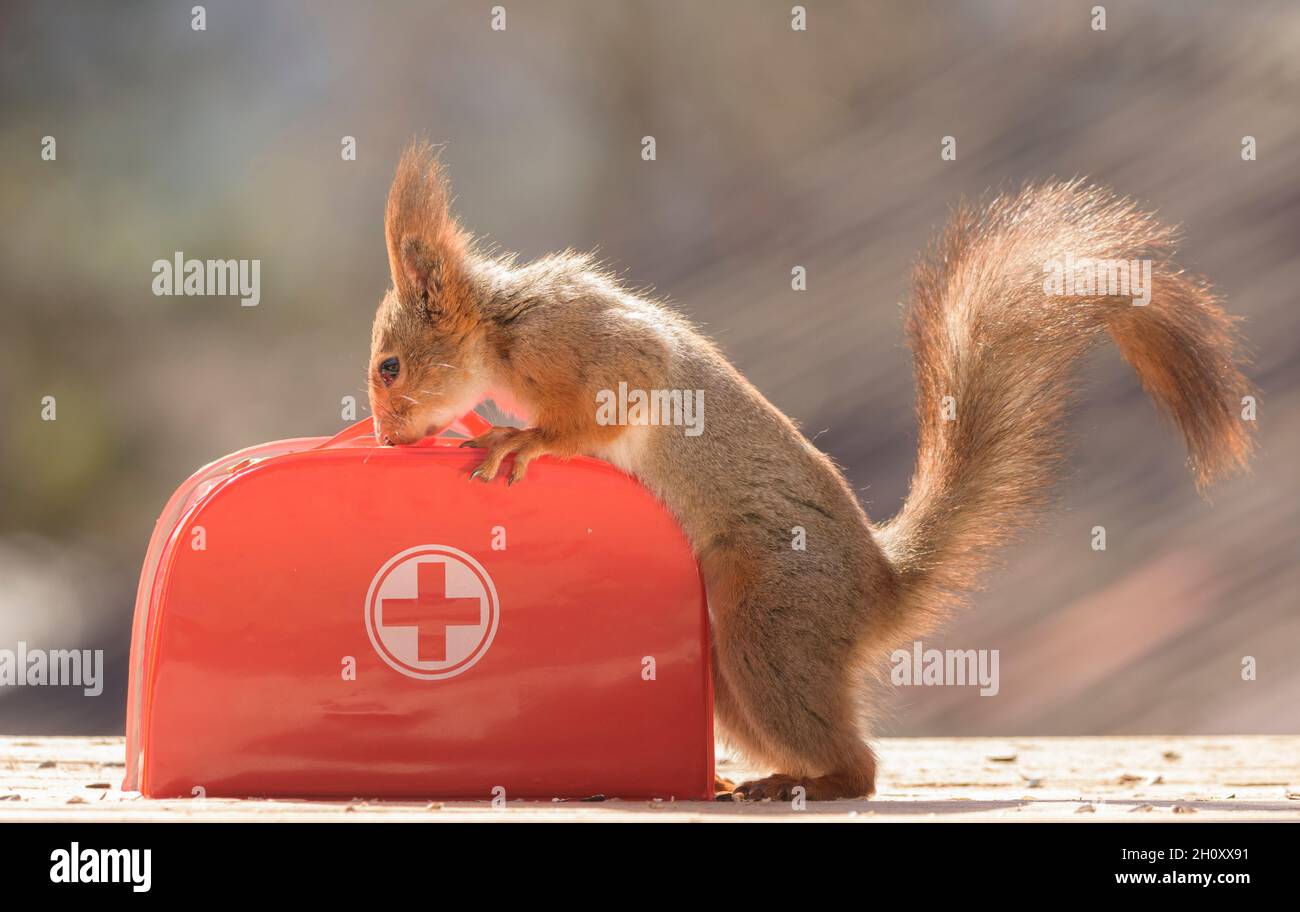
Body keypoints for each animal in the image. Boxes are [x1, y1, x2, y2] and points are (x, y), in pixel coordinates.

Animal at [368, 140, 1254, 800]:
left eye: (388, 366)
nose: (384, 438)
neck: (502, 329)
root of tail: (878, 590)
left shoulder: (592, 346)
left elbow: (605, 408)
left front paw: (519, 441)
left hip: (770, 620)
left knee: (859, 767)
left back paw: (806, 783)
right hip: (733, 671)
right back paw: (750, 780)